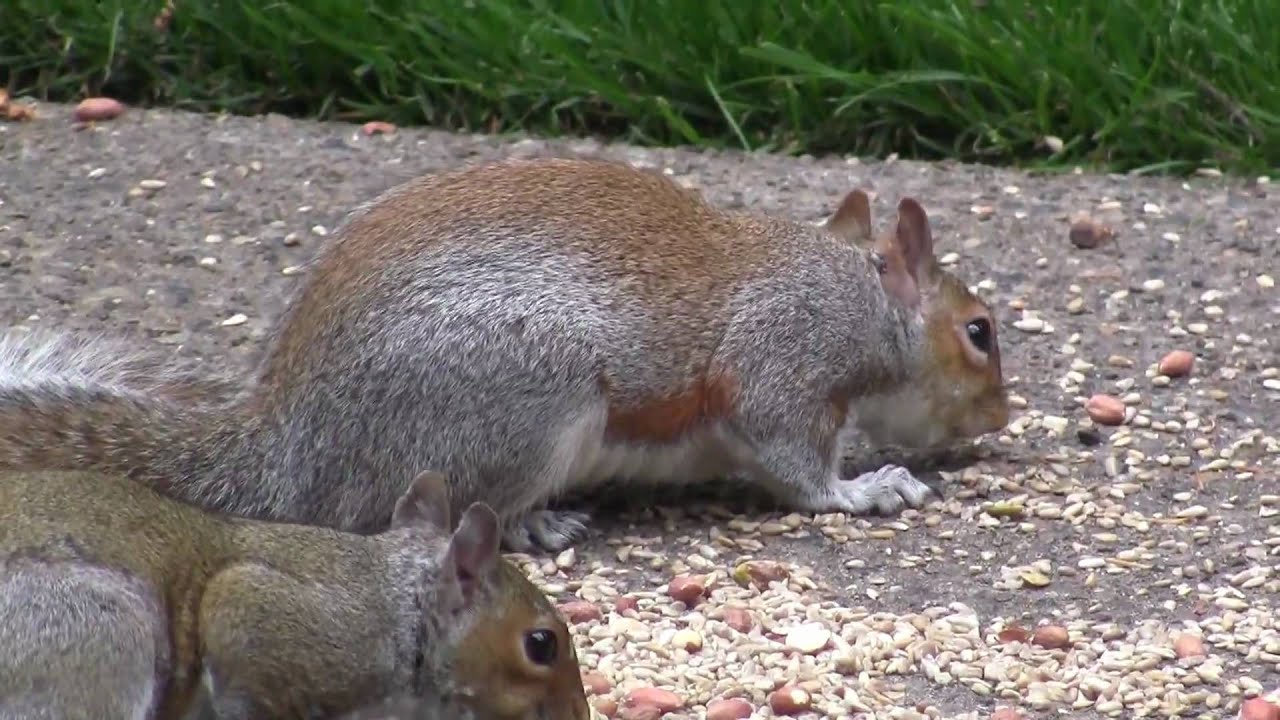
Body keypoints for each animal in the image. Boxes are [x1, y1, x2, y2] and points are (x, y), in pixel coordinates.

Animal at [0, 156, 1009, 553]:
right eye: (979, 332)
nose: (1001, 418)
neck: (857, 297)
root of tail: (296, 445)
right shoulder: (784, 359)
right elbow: (796, 464)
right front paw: (869, 487)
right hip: (527, 401)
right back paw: (533, 525)